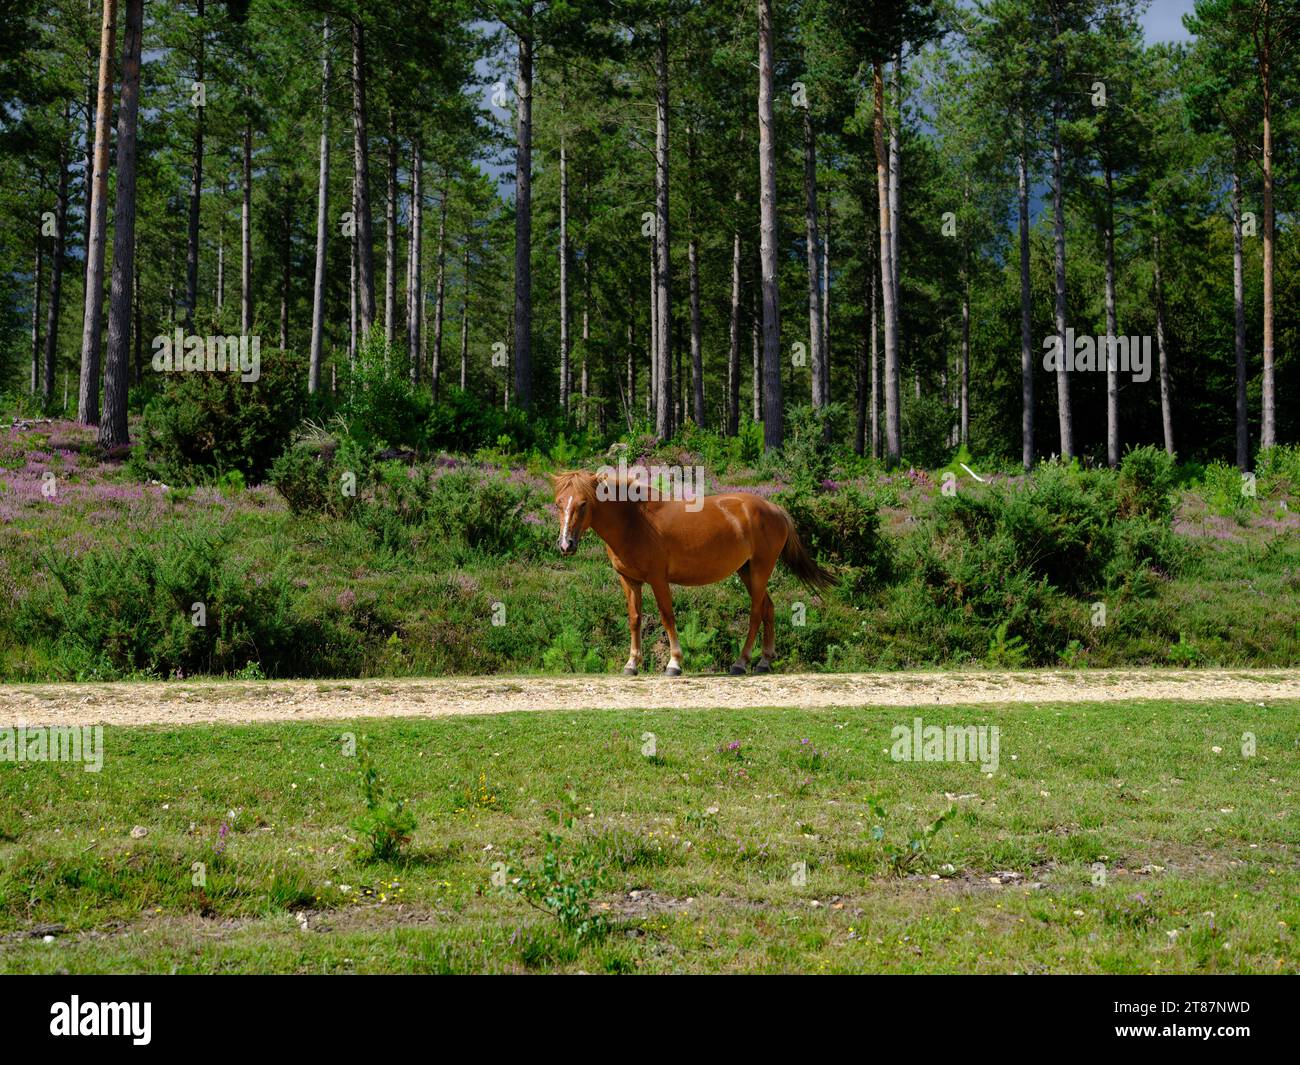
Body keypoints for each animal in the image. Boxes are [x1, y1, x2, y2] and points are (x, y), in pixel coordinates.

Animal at [551, 469, 833, 676]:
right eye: (558, 504)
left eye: (583, 503)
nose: (566, 545)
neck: (634, 521)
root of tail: (774, 508)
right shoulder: (629, 581)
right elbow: (634, 619)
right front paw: (632, 664)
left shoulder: (658, 580)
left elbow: (667, 617)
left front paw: (674, 663)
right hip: (747, 571)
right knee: (768, 608)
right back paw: (764, 662)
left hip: (760, 569)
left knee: (755, 614)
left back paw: (741, 662)